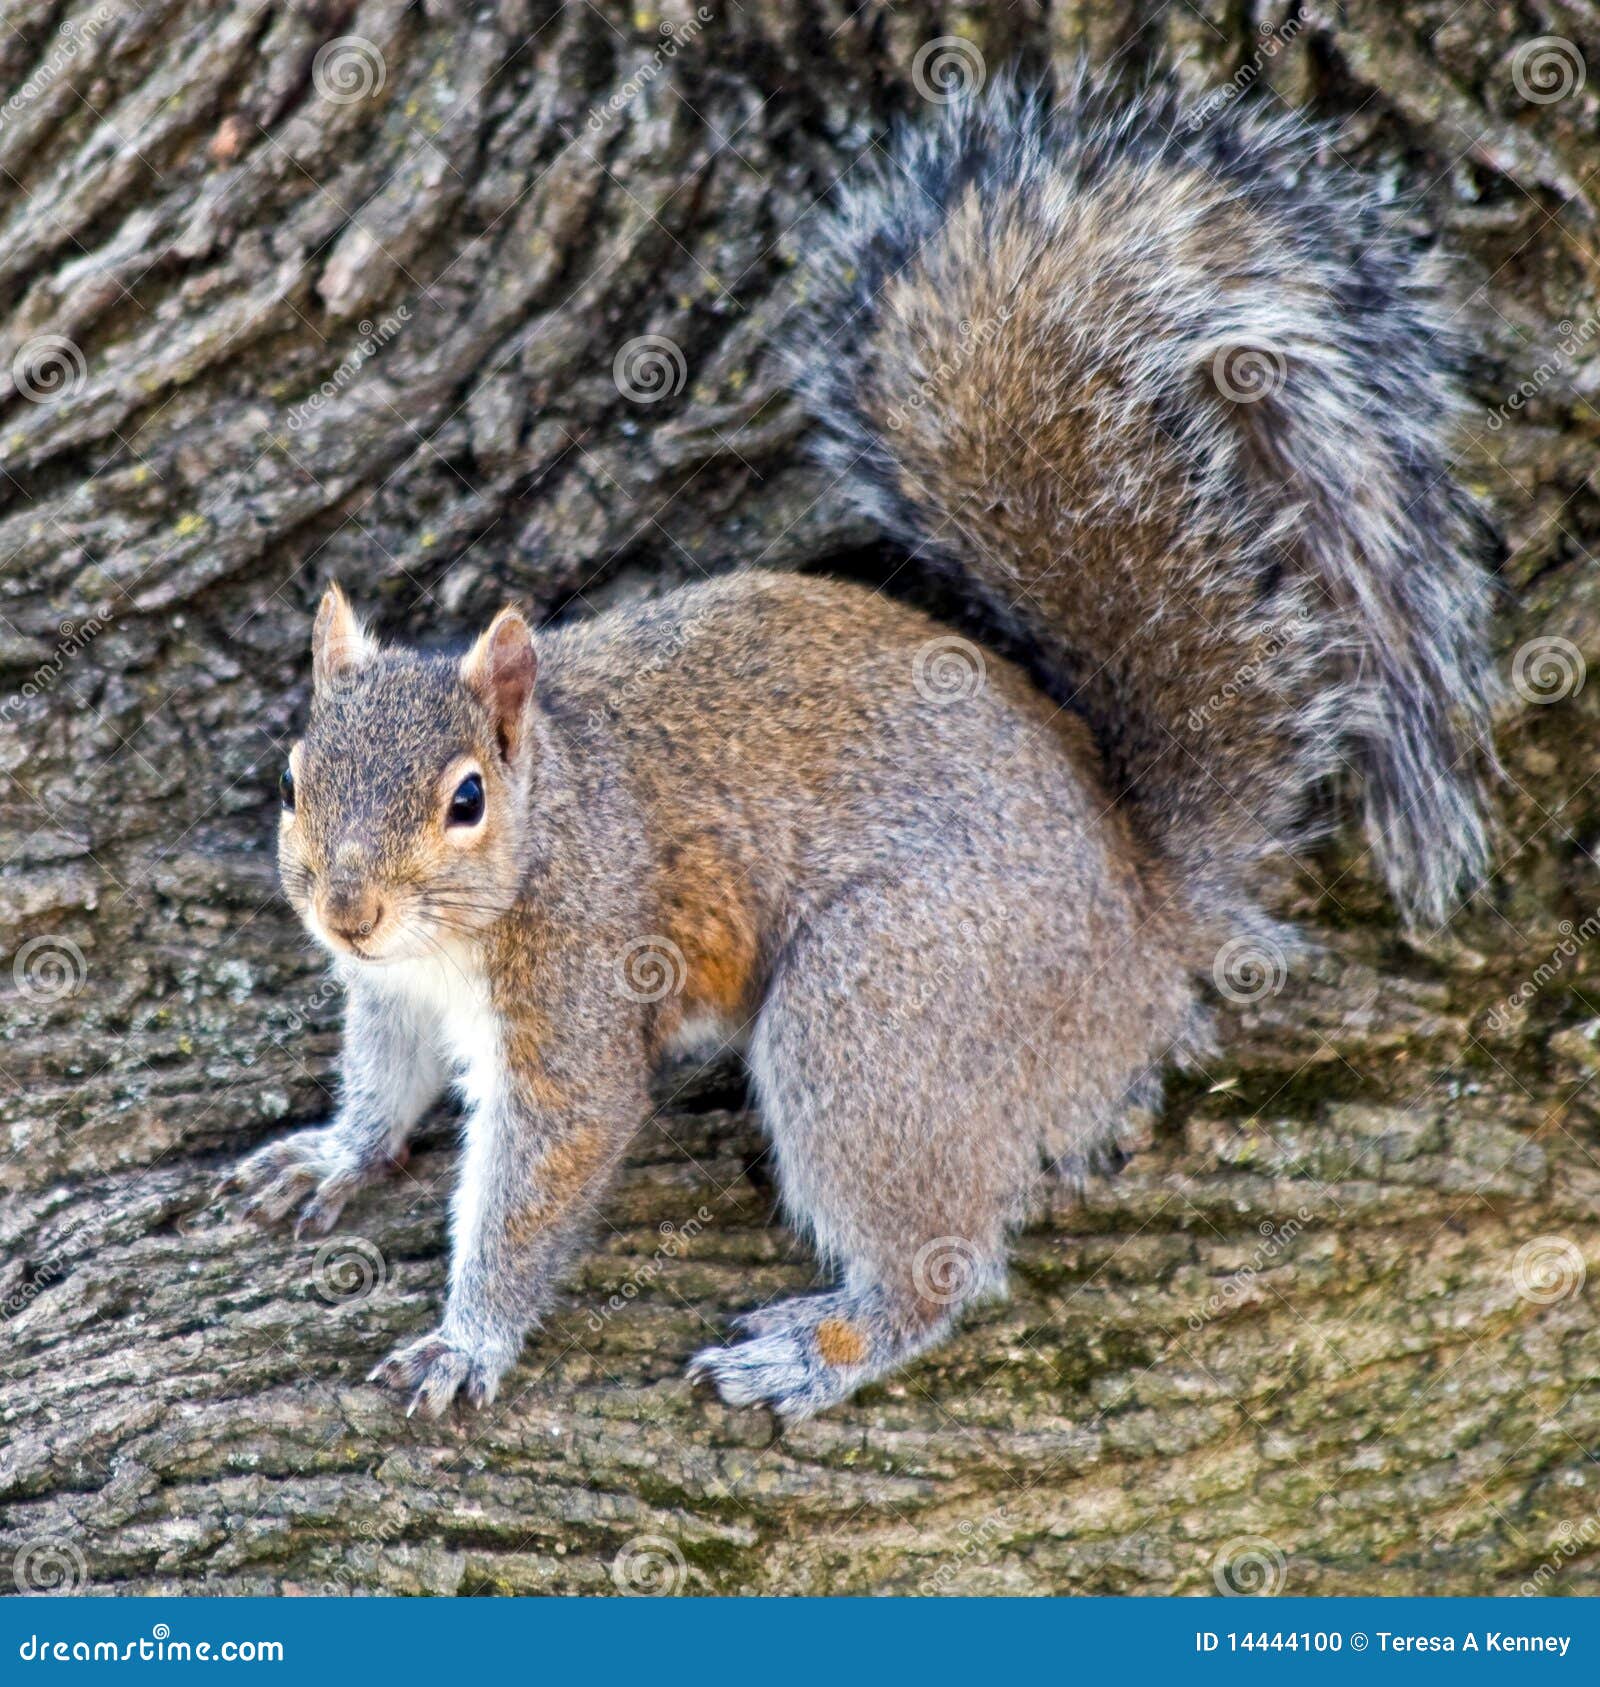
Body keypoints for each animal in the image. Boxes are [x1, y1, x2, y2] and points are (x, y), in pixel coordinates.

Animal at [223, 71, 1496, 1419]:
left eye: (465, 799)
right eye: (294, 778)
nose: (347, 911)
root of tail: (1147, 912)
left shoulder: (580, 983)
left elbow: (547, 1174)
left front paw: (466, 1341)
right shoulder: (394, 994)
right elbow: (384, 1079)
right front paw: (333, 1152)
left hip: (878, 1009)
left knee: (938, 1262)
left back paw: (823, 1345)